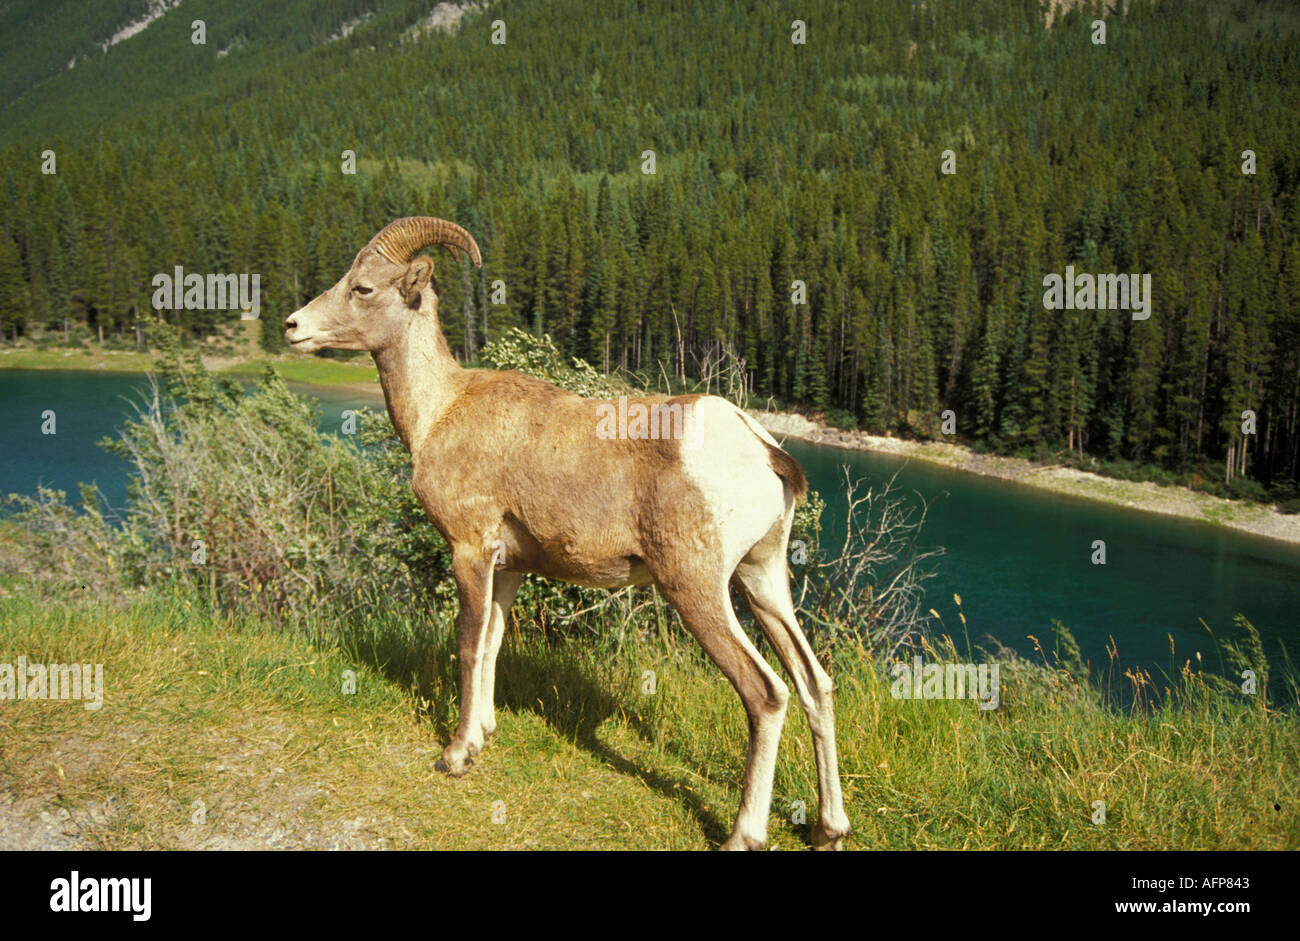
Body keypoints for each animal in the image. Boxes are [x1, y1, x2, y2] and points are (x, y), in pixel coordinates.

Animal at [284, 216, 851, 850]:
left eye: (362, 288)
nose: (293, 327)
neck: (439, 411)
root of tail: (761, 447)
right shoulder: (507, 568)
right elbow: (493, 643)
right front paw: (484, 734)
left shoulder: (468, 551)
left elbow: (467, 642)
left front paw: (455, 755)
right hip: (763, 580)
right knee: (814, 683)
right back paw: (830, 828)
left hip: (697, 589)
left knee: (766, 692)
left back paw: (742, 835)